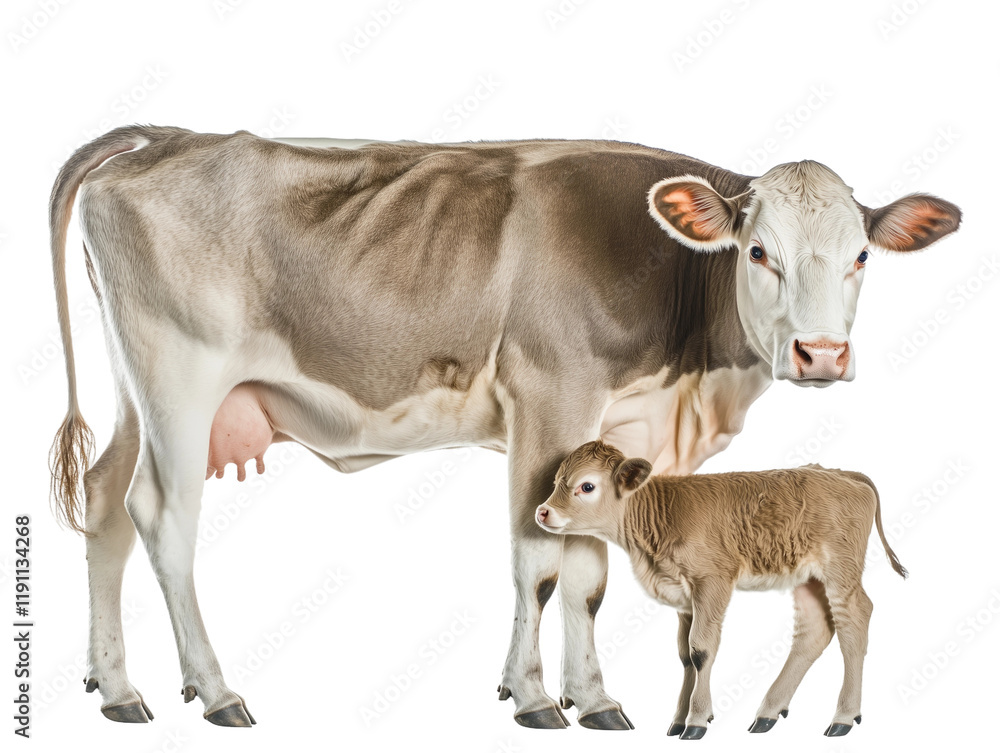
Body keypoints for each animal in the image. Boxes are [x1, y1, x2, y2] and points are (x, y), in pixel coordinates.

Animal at [535, 440, 907, 738]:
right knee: (814, 631)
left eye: (586, 486)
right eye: (555, 482)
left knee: (854, 621)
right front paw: (677, 720)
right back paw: (768, 713)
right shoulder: (684, 597)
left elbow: (701, 649)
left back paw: (843, 716)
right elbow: (685, 655)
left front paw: (696, 720)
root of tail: (841, 473)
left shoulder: (712, 581)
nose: (542, 511)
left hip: (841, 569)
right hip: (807, 577)